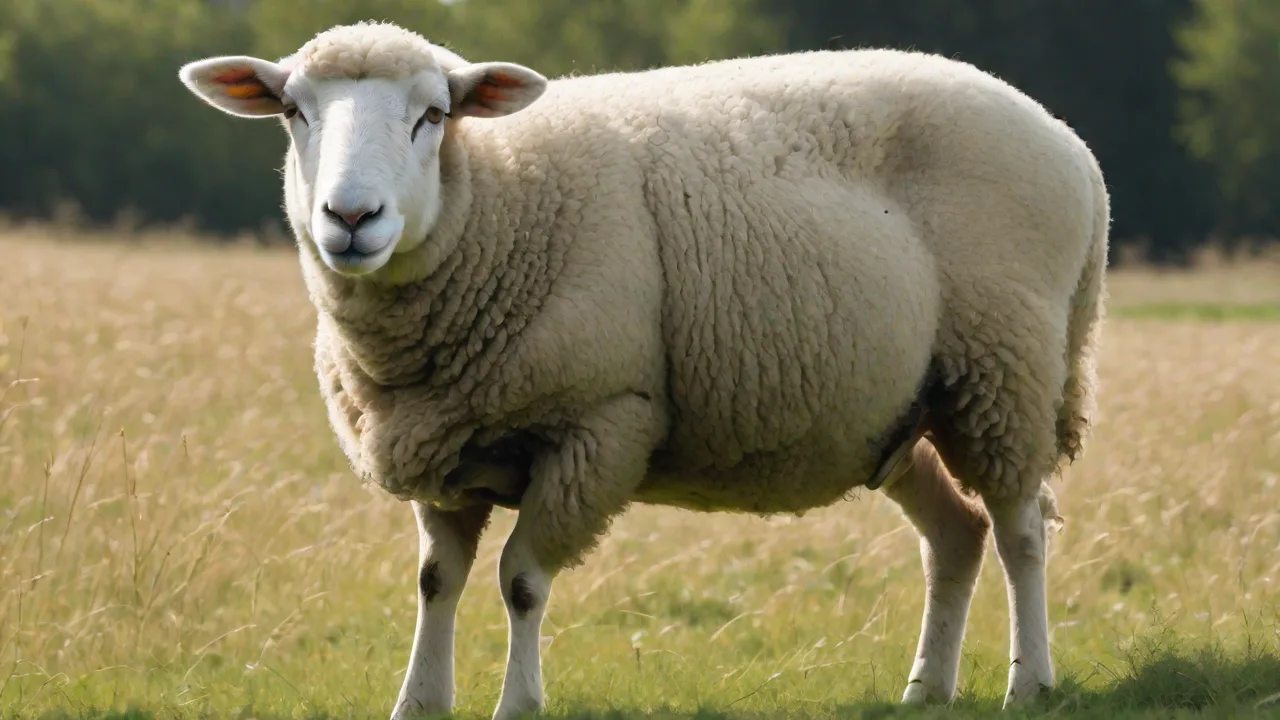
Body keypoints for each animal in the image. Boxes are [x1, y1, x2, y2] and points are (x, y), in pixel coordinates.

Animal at [177, 20, 1108, 720]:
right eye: (292, 110)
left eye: (433, 114)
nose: (350, 217)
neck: (498, 203)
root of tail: (1070, 144)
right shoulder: (444, 442)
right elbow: (436, 582)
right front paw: (419, 703)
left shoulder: (600, 419)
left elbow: (521, 582)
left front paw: (519, 704)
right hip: (905, 410)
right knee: (957, 534)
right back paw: (926, 690)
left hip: (1008, 367)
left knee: (1021, 531)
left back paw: (1030, 683)